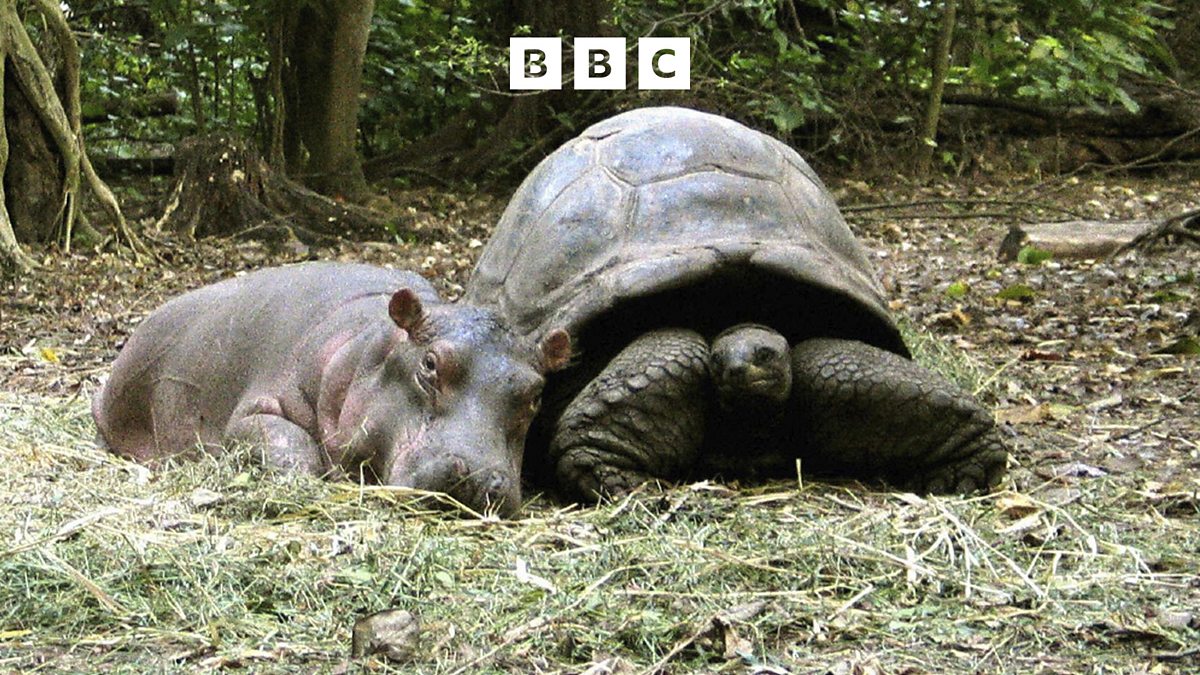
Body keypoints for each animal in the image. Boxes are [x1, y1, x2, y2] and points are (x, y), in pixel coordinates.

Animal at [92, 262, 570, 516]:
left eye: (535, 394)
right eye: (431, 363)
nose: (481, 477)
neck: (369, 347)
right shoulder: (260, 402)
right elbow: (282, 438)